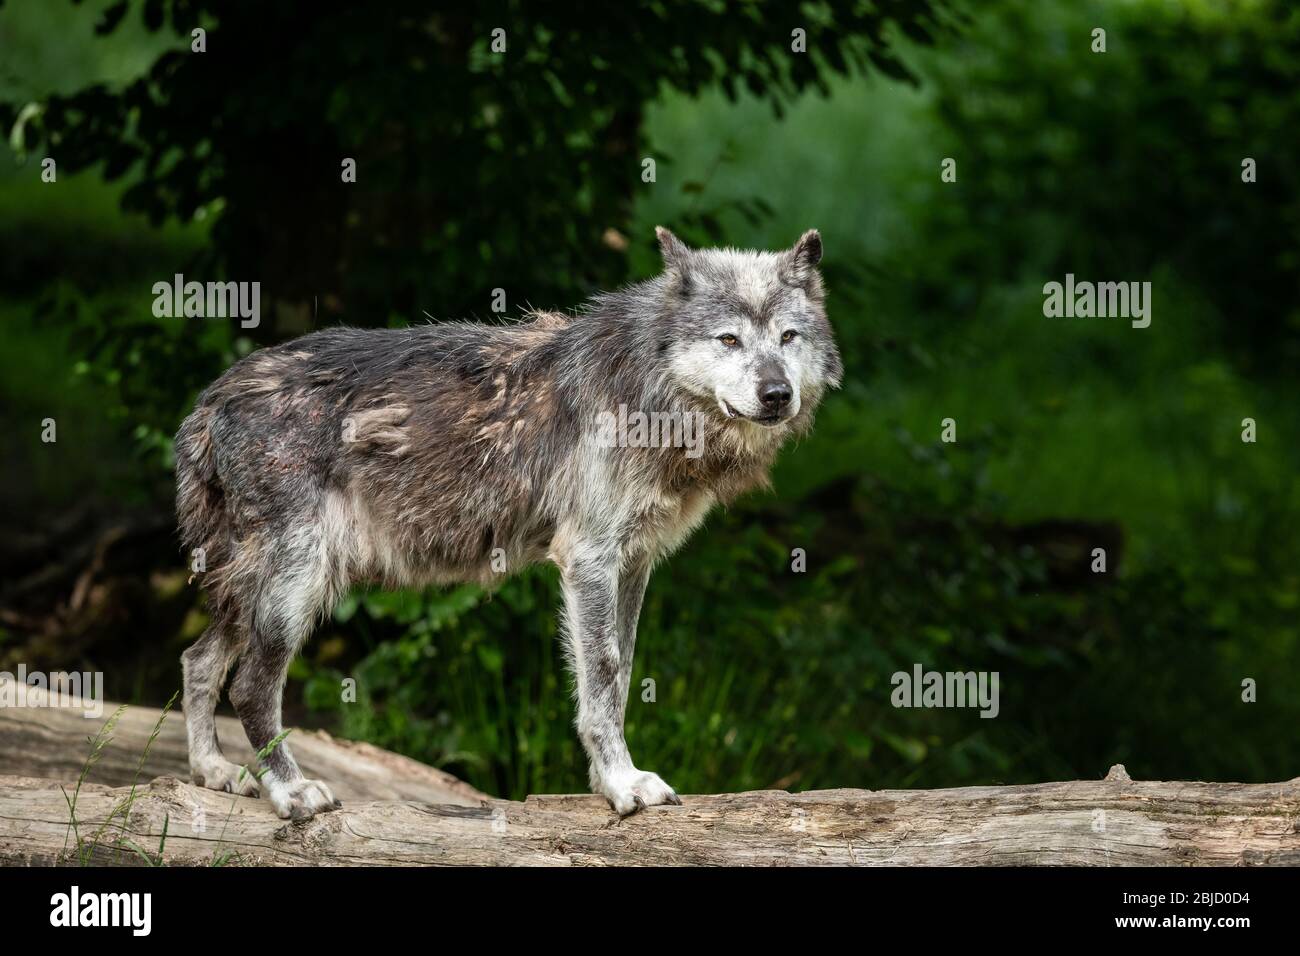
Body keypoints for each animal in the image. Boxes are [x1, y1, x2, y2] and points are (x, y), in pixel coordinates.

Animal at [174, 227, 841, 820]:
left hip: (260, 586)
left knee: (197, 660)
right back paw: (291, 794)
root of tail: (210, 398)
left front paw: (609, 779)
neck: (651, 396)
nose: (777, 393)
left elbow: (619, 676)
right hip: (300, 581)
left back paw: (212, 772)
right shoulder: (589, 559)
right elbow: (602, 678)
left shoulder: (633, 564)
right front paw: (624, 786)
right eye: (729, 339)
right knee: (250, 687)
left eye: (788, 337)